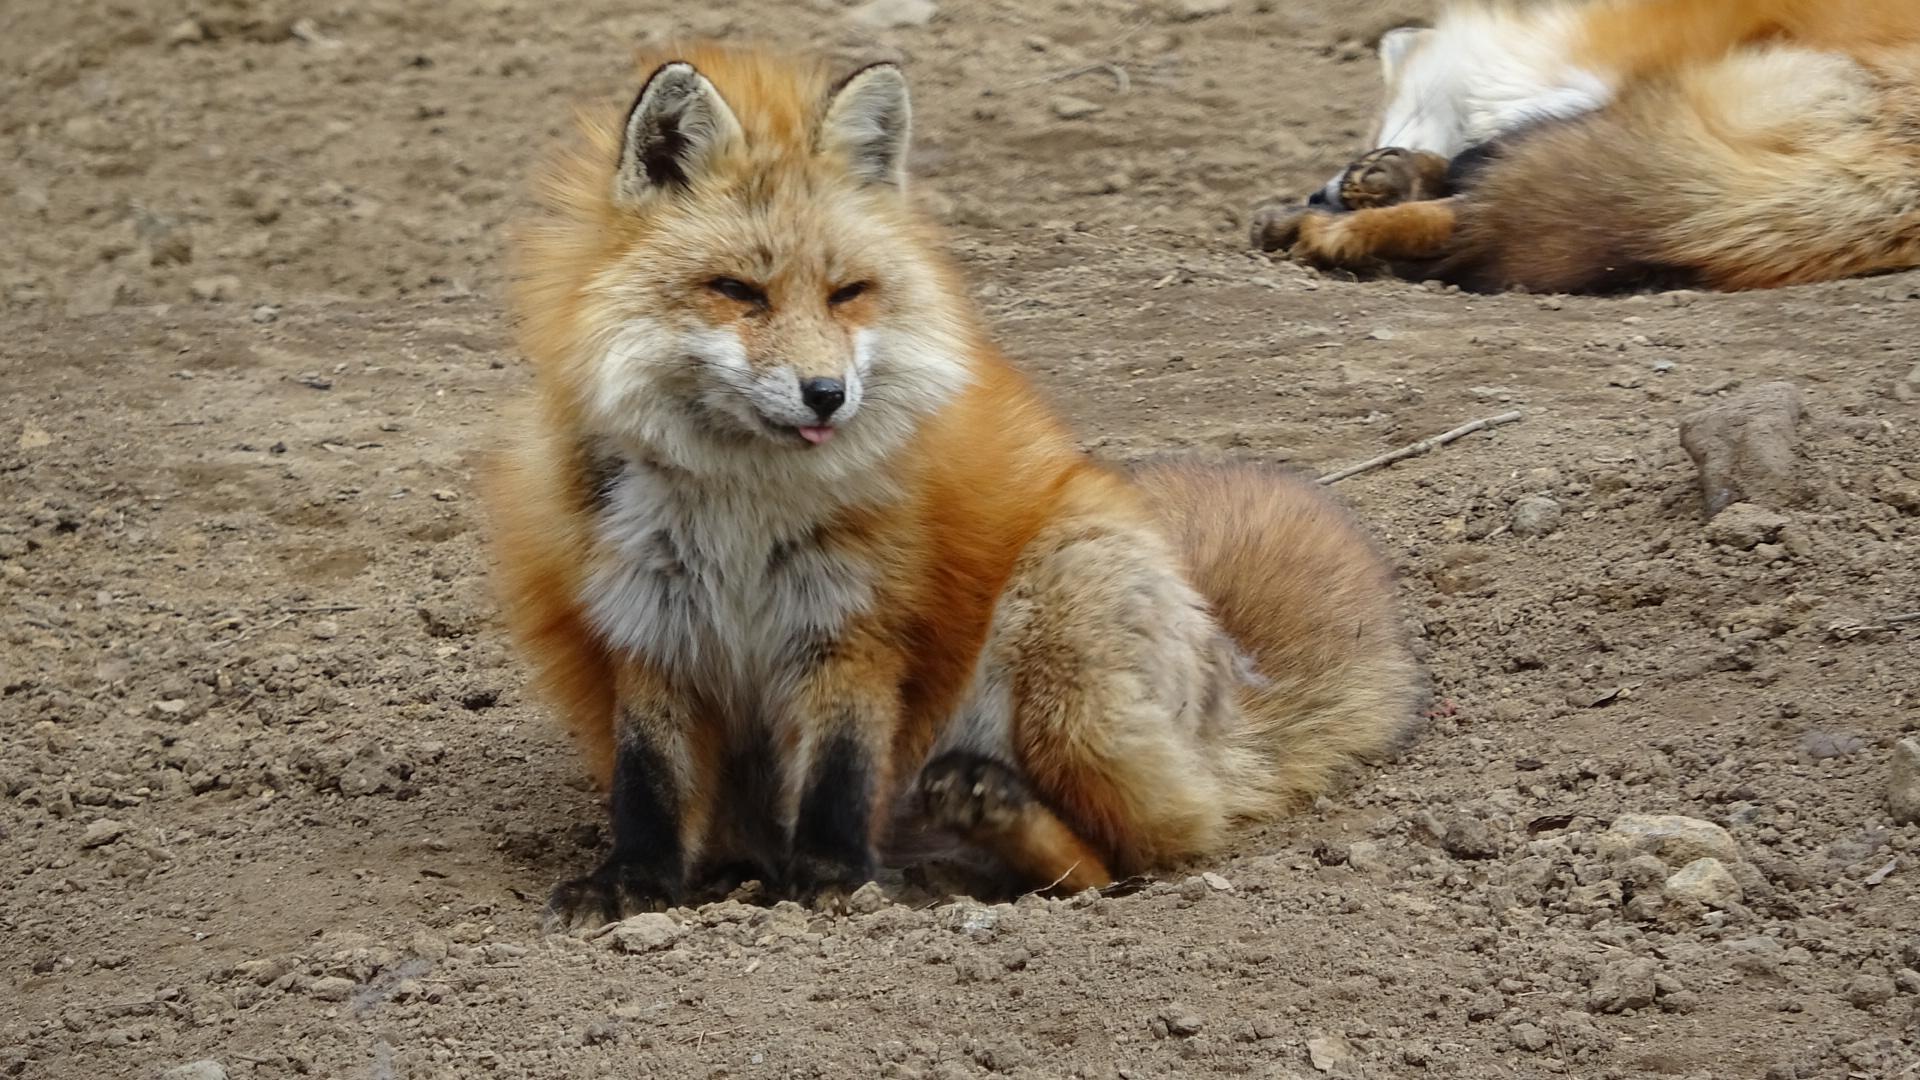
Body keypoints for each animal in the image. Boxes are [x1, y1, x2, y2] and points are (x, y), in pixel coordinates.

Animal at [483, 42, 1422, 929]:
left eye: (848, 294)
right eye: (738, 292)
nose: (827, 394)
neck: (743, 509)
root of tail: (1224, 701)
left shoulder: (858, 623)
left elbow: (838, 773)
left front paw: (836, 882)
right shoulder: (650, 619)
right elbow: (650, 782)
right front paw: (634, 884)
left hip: (1062, 649)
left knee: (1139, 853)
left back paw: (994, 825)